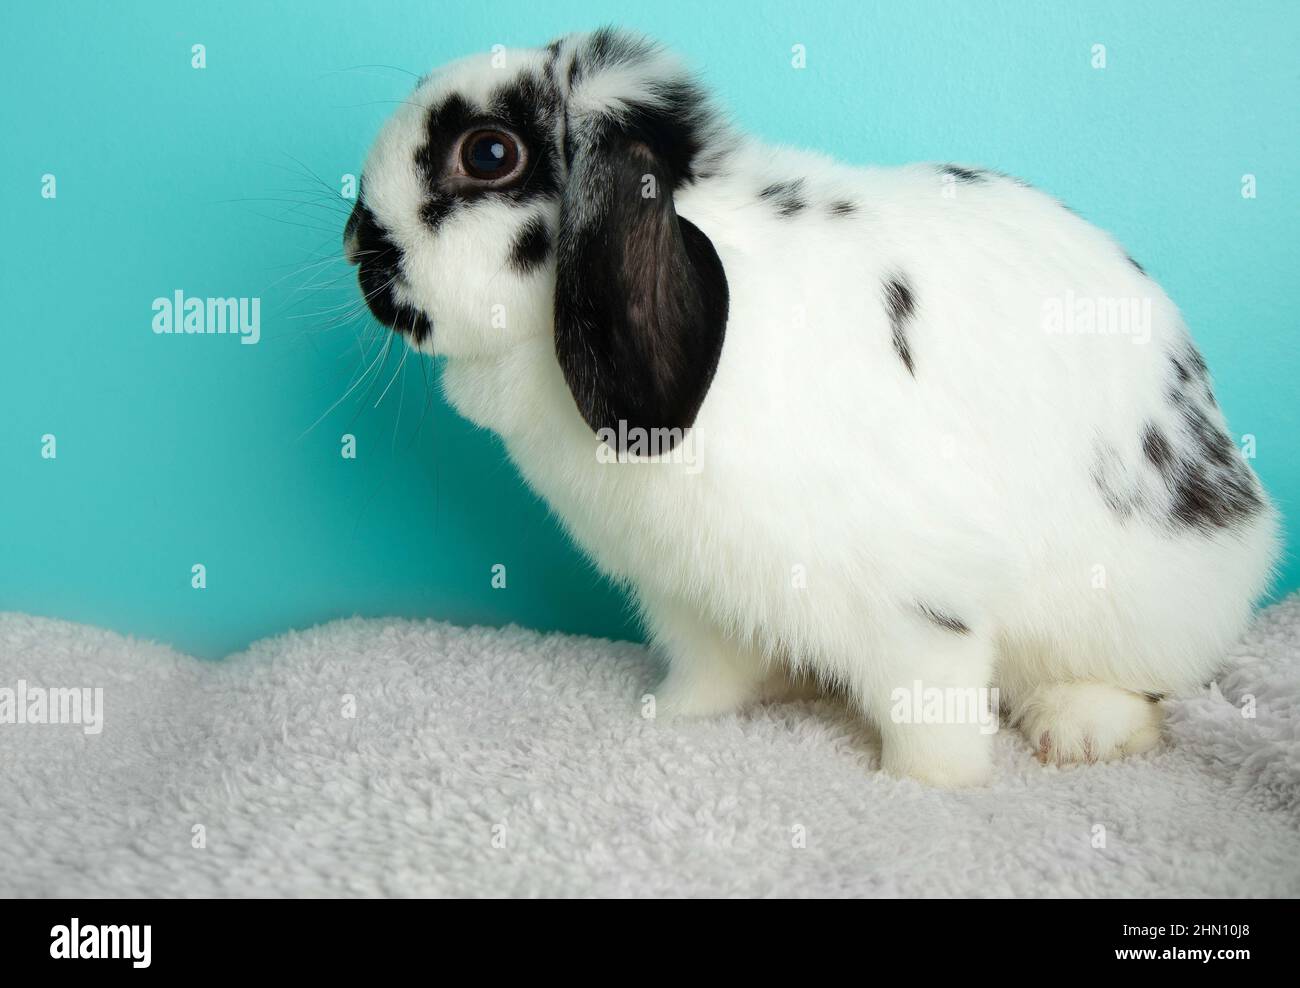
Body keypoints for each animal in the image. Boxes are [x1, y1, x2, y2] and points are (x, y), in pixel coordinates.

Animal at [343, 28, 1279, 786]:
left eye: (488, 153)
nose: (357, 241)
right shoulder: (691, 599)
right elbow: (709, 675)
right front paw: (669, 721)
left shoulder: (915, 602)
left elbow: (932, 707)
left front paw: (924, 790)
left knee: (1144, 681)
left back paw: (1080, 729)